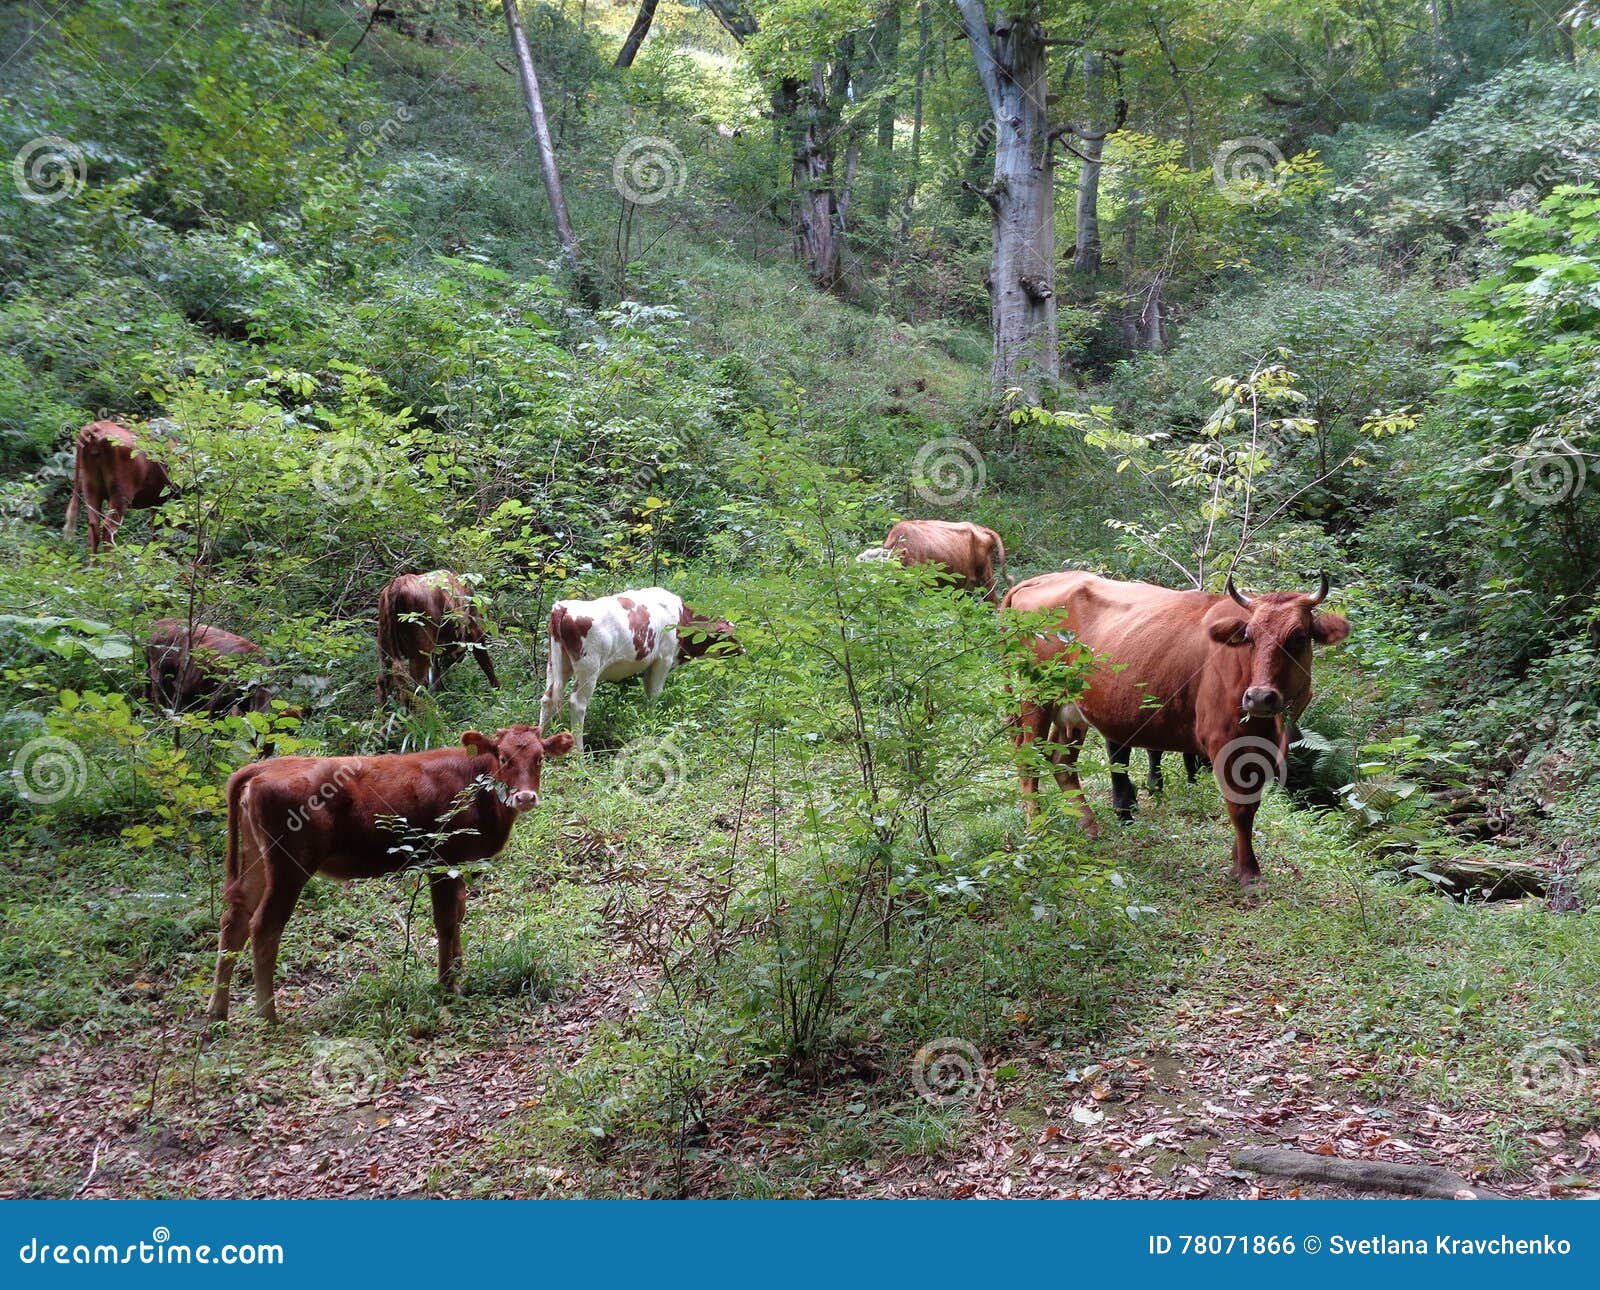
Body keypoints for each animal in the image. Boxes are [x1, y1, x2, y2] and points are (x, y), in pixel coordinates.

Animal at [62, 420, 174, 558]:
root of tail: (93, 429)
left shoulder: (156, 502)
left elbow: (156, 532)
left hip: (90, 487)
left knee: (93, 528)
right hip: (121, 492)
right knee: (108, 529)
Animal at [207, 724, 573, 1022]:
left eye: (540, 758)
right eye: (504, 758)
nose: (525, 797)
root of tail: (264, 766)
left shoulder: (456, 864)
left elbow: (459, 913)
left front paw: (458, 973)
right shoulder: (441, 860)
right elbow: (446, 921)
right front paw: (446, 986)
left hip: (257, 861)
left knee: (234, 921)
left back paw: (218, 1014)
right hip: (289, 866)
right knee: (264, 926)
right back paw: (267, 1015)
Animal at [376, 570, 499, 702]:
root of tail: (398, 583)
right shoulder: (475, 631)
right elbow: (487, 665)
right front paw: (498, 692)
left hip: (385, 648)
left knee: (383, 680)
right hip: (420, 653)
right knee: (418, 686)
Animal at [538, 587, 738, 754]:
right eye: (731, 636)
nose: (743, 649)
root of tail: (563, 607)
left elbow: (648, 692)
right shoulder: (663, 659)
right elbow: (655, 694)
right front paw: (652, 722)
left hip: (556, 665)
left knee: (548, 699)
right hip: (589, 667)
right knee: (577, 704)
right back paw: (580, 755)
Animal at [1001, 571, 1350, 885]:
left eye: (1299, 637)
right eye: (1249, 638)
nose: (1260, 697)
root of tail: (1044, 579)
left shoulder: (1264, 746)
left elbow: (1251, 804)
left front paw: (1238, 860)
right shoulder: (1222, 740)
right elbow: (1238, 806)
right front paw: (1249, 873)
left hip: (1071, 710)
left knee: (1061, 762)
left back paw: (1089, 827)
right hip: (1034, 698)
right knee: (1028, 762)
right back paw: (1036, 831)